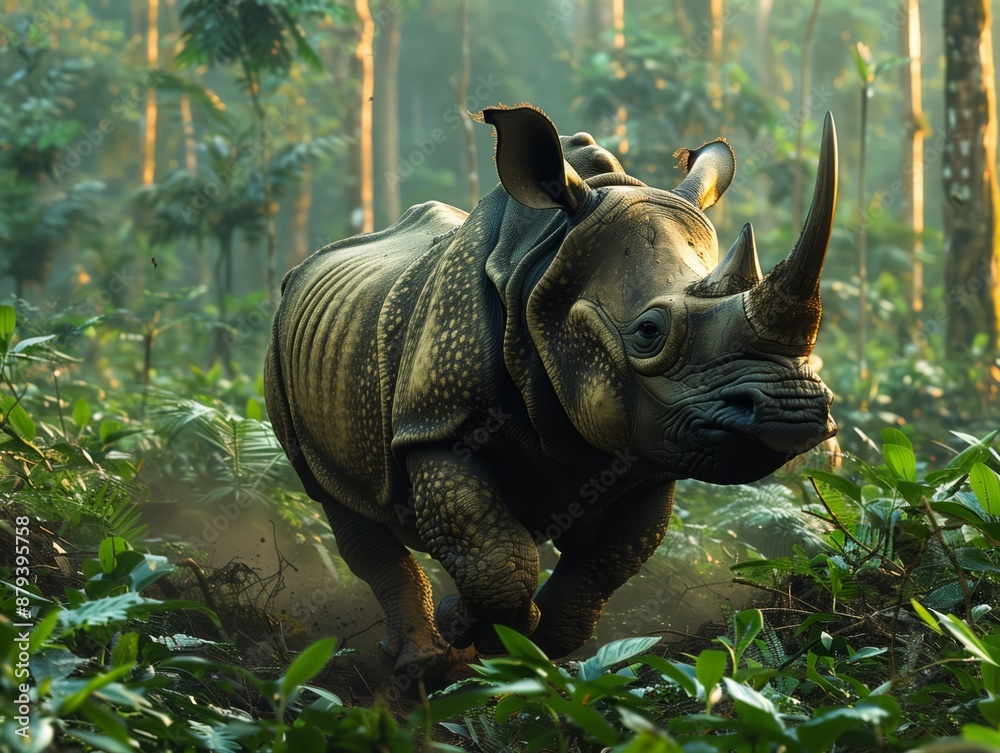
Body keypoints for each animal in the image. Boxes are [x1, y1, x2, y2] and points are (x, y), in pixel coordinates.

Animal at [264, 104, 839, 673]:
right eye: (648, 332)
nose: (794, 413)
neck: (541, 269)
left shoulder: (649, 453)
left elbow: (605, 565)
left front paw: (516, 645)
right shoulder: (437, 419)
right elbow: (499, 558)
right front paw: (471, 630)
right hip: (281, 348)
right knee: (338, 502)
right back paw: (418, 664)